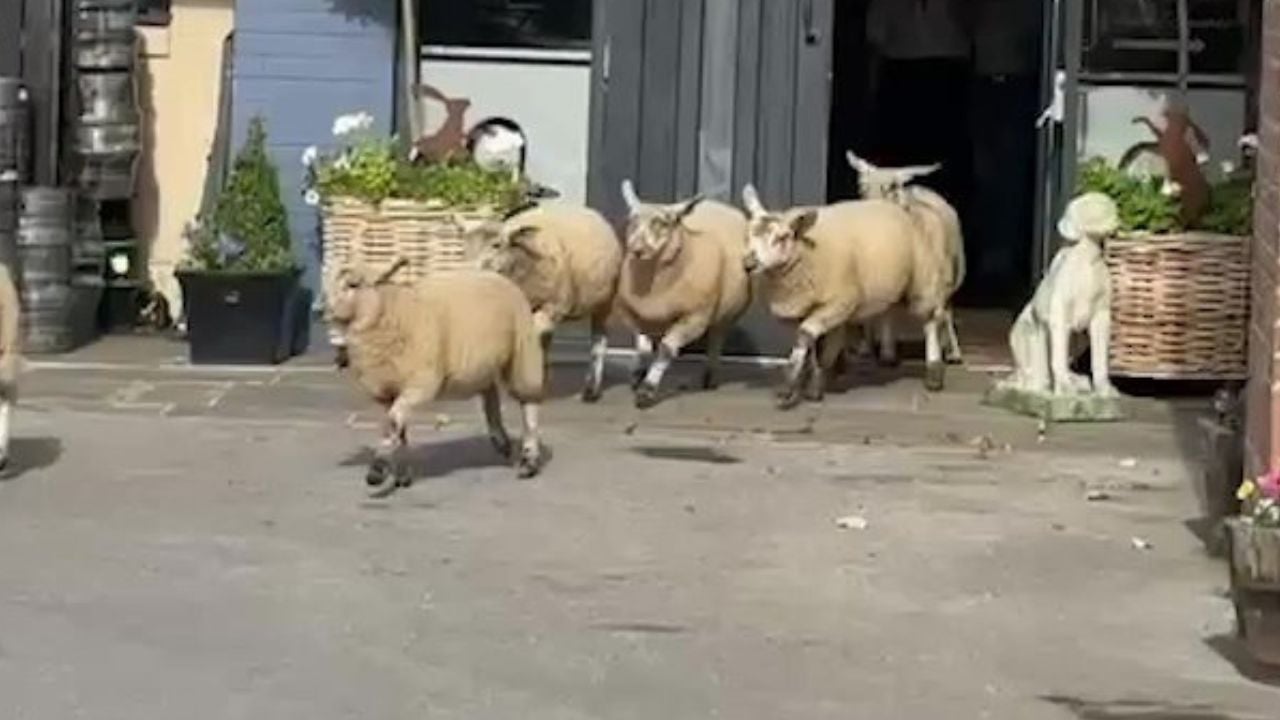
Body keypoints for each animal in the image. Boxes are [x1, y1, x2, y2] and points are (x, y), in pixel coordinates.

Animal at [325, 259, 547, 497]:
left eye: (353, 284)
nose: (322, 311)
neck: (393, 312)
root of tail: (494, 274)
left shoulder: (419, 384)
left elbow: (392, 423)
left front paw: (377, 471)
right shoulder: (386, 392)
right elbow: (398, 429)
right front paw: (402, 475)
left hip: (523, 352)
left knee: (529, 405)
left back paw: (529, 461)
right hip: (481, 363)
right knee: (490, 393)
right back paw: (501, 440)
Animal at [616, 179, 752, 409]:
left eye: (662, 222)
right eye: (632, 220)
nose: (637, 250)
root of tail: (717, 205)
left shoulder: (694, 318)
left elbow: (666, 349)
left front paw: (647, 390)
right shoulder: (635, 315)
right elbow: (643, 348)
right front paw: (637, 376)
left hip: (726, 314)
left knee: (717, 337)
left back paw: (710, 377)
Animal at [740, 184, 950, 408]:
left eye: (782, 238)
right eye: (748, 235)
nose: (748, 264)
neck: (806, 254)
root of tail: (901, 204)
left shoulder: (840, 303)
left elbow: (806, 336)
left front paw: (790, 388)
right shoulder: (809, 308)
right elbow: (813, 345)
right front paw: (812, 382)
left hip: (923, 280)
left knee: (931, 321)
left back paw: (934, 372)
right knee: (888, 313)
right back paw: (887, 356)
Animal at [845, 151, 965, 367]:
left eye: (892, 187)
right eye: (861, 186)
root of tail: (920, 189)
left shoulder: (934, 284)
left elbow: (934, 317)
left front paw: (937, 355)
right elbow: (886, 314)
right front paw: (887, 353)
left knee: (947, 311)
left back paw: (953, 351)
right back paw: (868, 347)